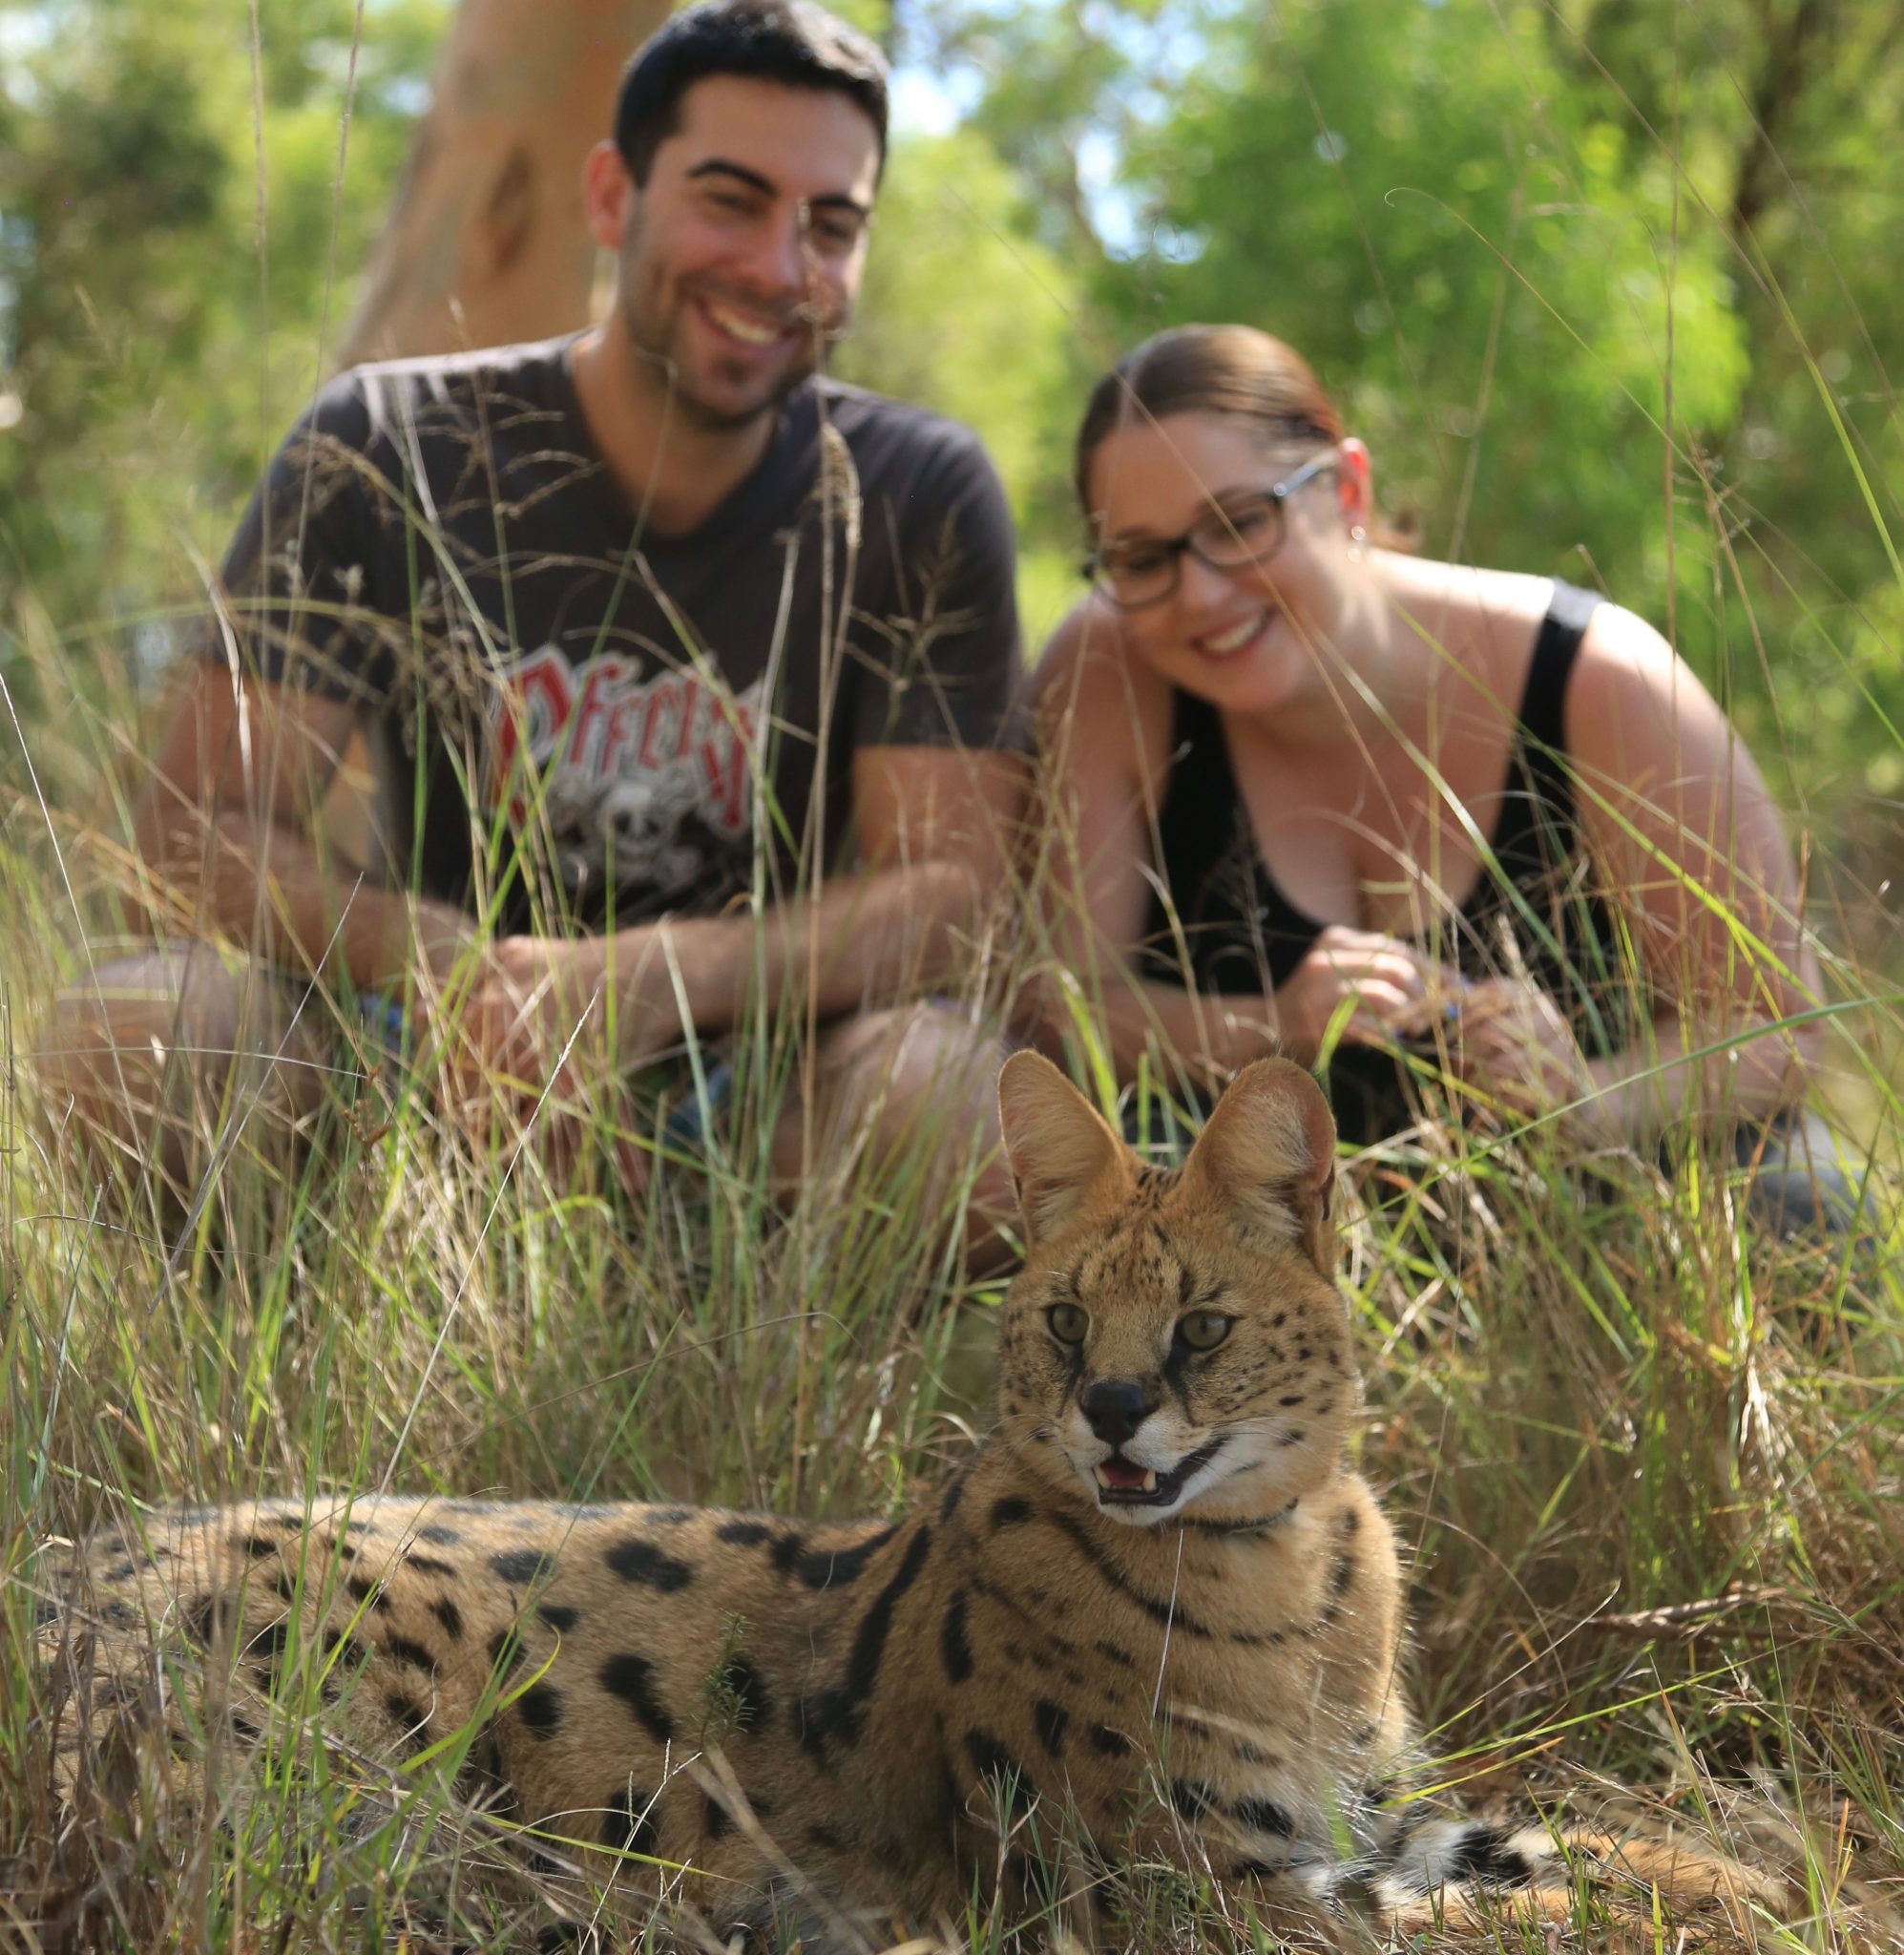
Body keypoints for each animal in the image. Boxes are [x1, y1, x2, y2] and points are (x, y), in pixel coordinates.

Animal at [35, 1055, 1781, 1949]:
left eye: (1199, 1328)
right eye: (1068, 1322)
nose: (1112, 1410)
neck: (1288, 1576)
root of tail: (62, 1579)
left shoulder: (1358, 1810)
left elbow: (1542, 1837)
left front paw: (1738, 1873)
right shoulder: (1195, 1886)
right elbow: (1485, 1913)